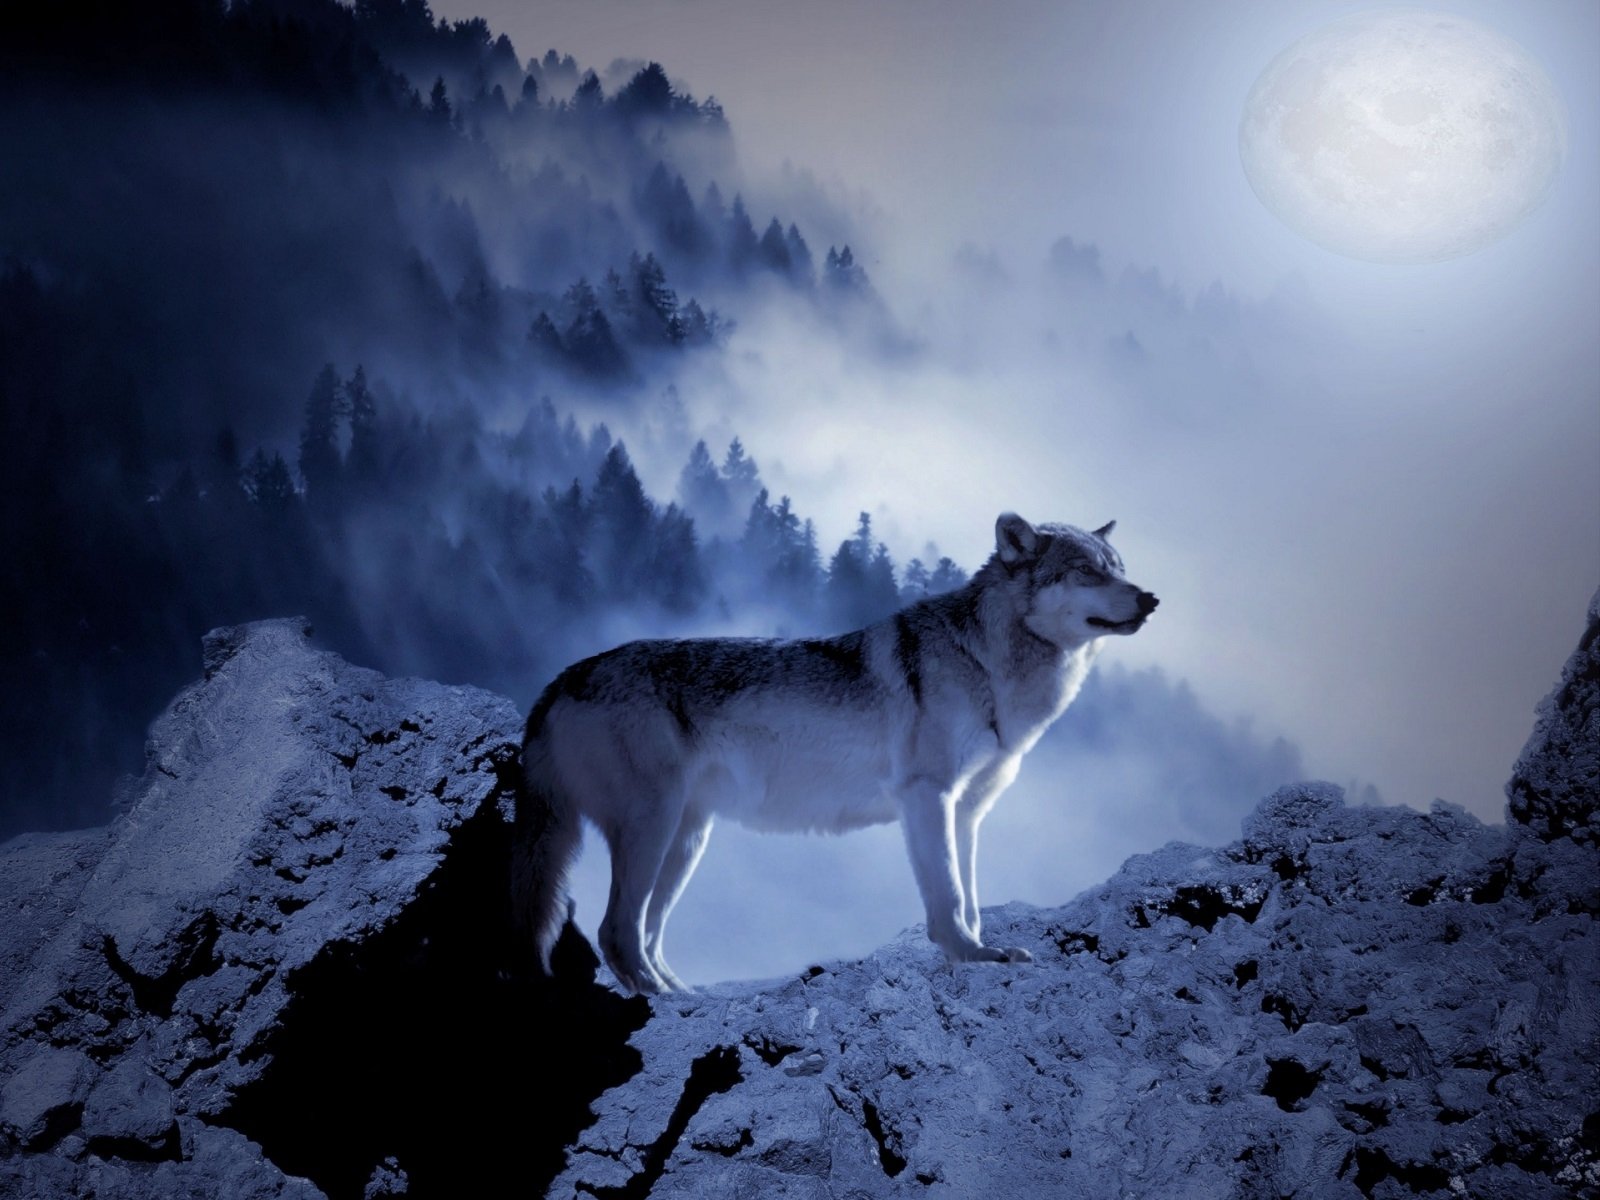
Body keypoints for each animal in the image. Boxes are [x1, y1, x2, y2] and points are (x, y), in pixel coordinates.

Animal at [511, 512, 1158, 994]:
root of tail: (560, 680)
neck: (987, 663)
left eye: (1120, 569)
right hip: (654, 828)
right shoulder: (927, 798)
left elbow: (971, 899)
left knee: (645, 935)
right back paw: (664, 1003)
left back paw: (684, 994)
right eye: (1086, 572)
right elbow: (949, 898)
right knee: (616, 932)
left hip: (688, 840)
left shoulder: (966, 812)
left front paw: (979, 950)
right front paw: (969, 956)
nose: (1151, 598)